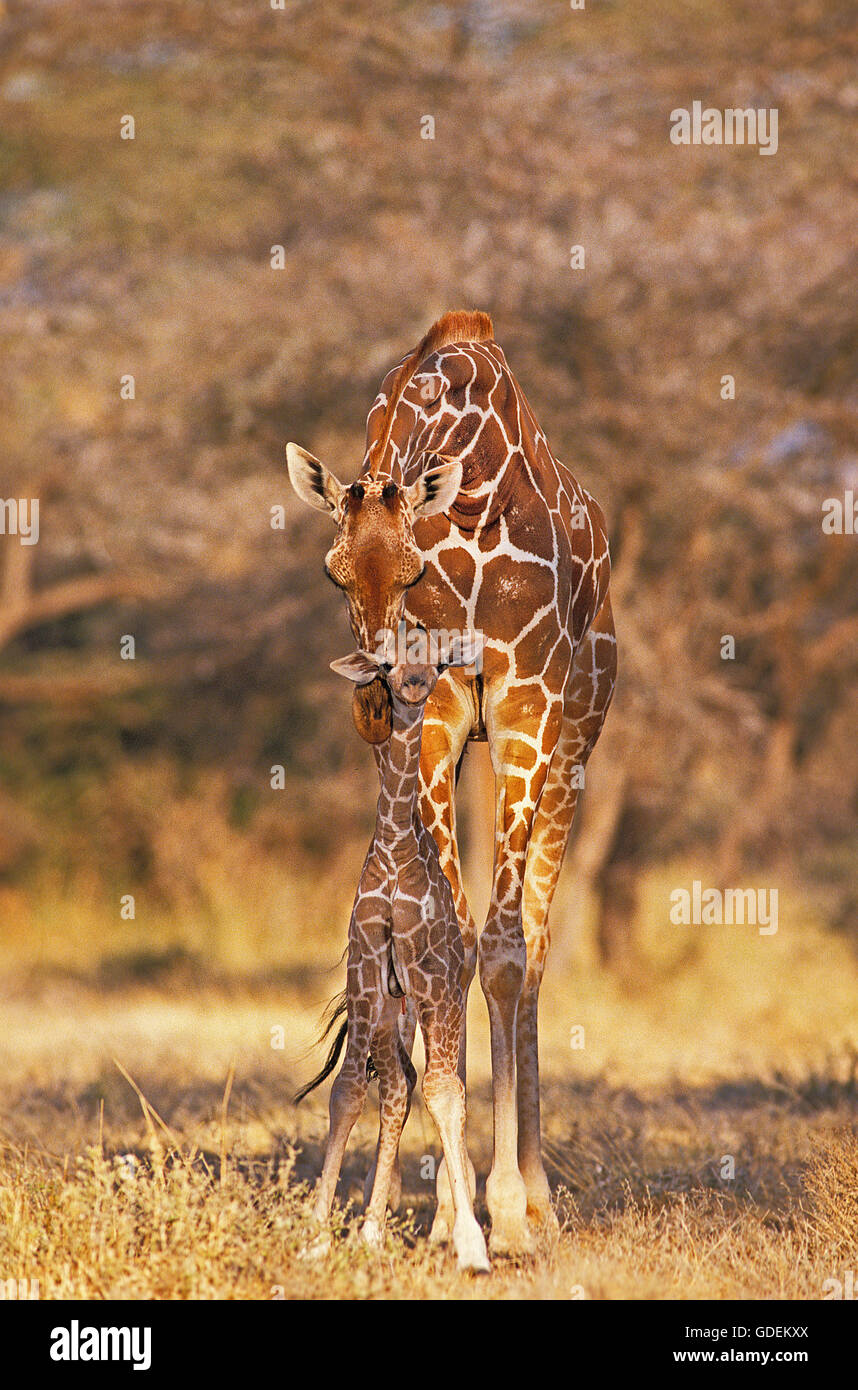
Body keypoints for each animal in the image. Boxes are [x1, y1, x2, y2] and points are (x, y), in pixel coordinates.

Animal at [296, 636, 490, 1274]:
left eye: (437, 659)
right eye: (384, 661)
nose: (411, 683)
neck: (397, 848)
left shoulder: (432, 980)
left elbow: (445, 1094)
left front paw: (471, 1246)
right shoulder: (365, 977)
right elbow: (348, 1091)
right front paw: (316, 1234)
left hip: (441, 1001)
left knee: (431, 1088)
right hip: (390, 1013)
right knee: (396, 1088)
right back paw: (373, 1230)